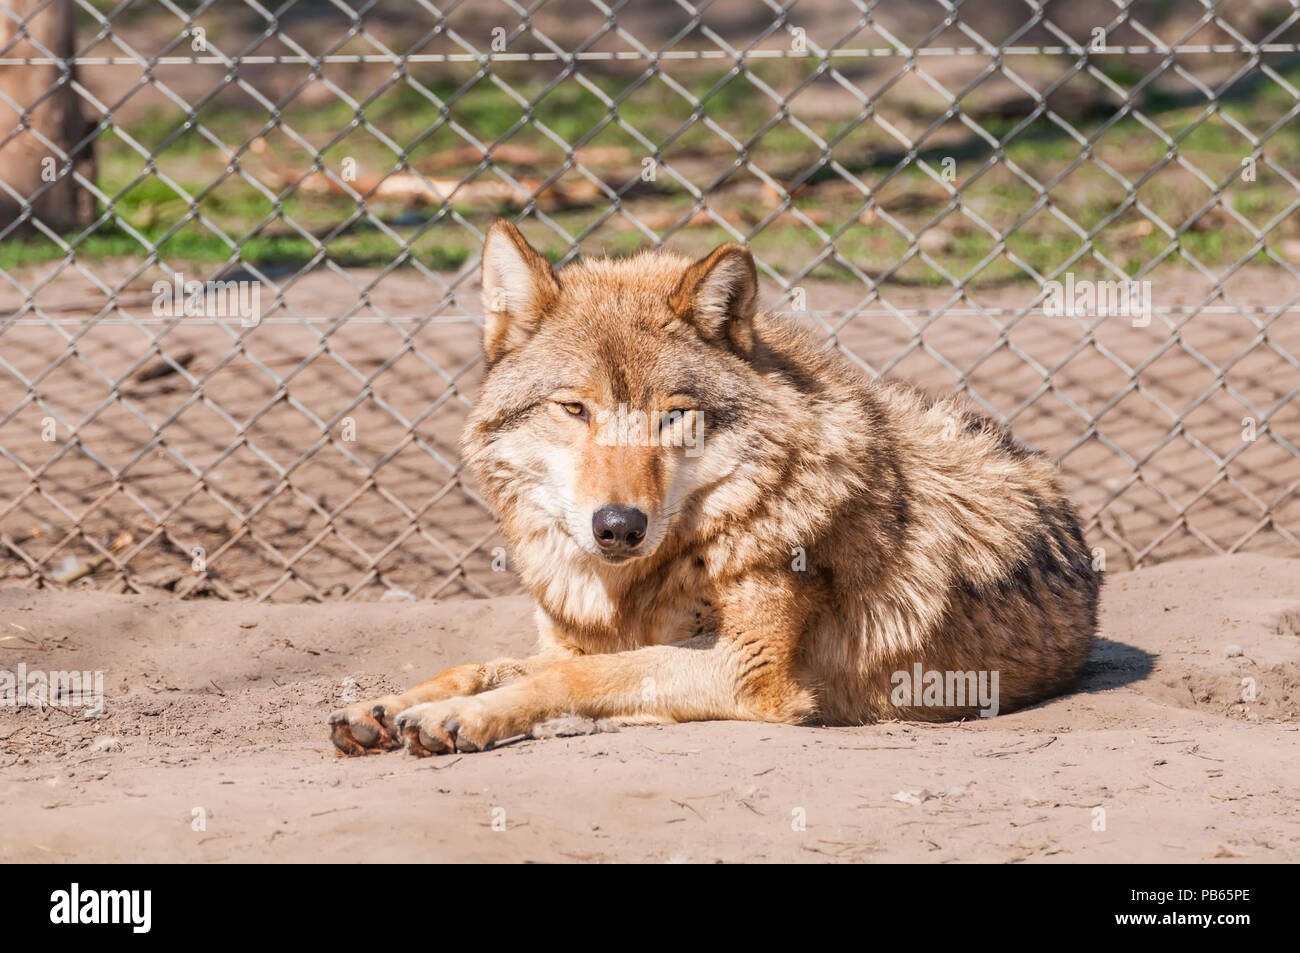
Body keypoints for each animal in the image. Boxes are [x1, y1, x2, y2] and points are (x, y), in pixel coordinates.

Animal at [329, 220, 1100, 757]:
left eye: (674, 415)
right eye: (574, 409)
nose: (618, 525)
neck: (635, 585)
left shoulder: (745, 670)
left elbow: (571, 680)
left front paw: (455, 718)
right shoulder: (576, 642)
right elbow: (487, 665)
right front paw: (390, 705)